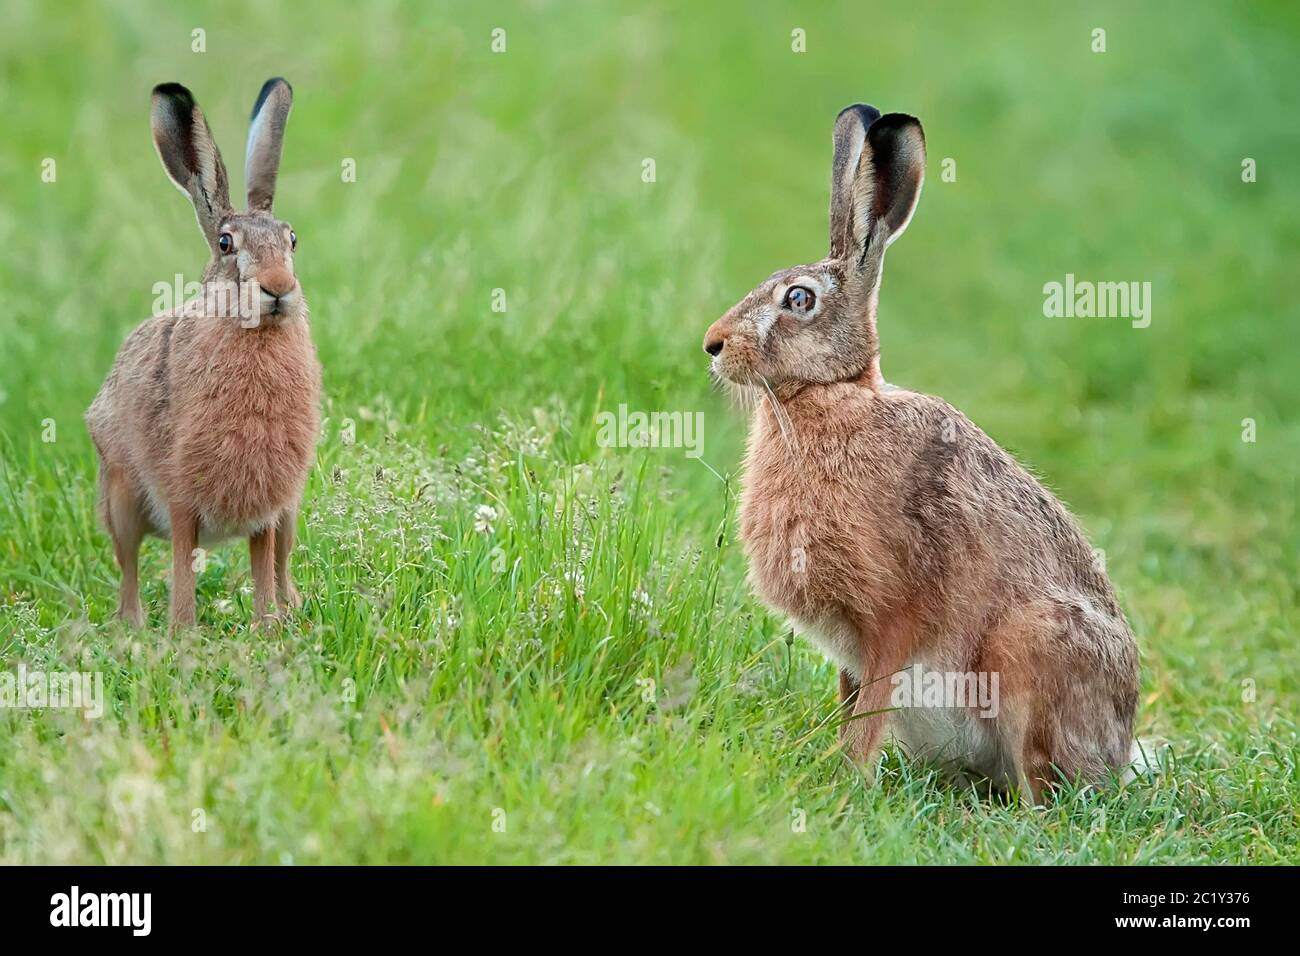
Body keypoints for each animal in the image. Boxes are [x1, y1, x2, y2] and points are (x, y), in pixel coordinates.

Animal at [85, 79, 320, 631]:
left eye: (292, 240)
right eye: (226, 243)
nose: (278, 287)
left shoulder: (268, 505)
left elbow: (261, 561)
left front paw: (266, 627)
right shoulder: (181, 497)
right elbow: (182, 565)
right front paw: (184, 631)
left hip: (291, 510)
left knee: (282, 559)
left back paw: (292, 608)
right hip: (121, 499)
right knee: (129, 563)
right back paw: (134, 626)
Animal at [703, 104, 1156, 801]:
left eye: (799, 299)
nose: (713, 343)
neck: (836, 393)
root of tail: (1119, 749)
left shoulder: (891, 619)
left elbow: (869, 713)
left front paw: (846, 782)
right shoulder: (850, 651)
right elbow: (849, 704)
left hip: (1032, 645)